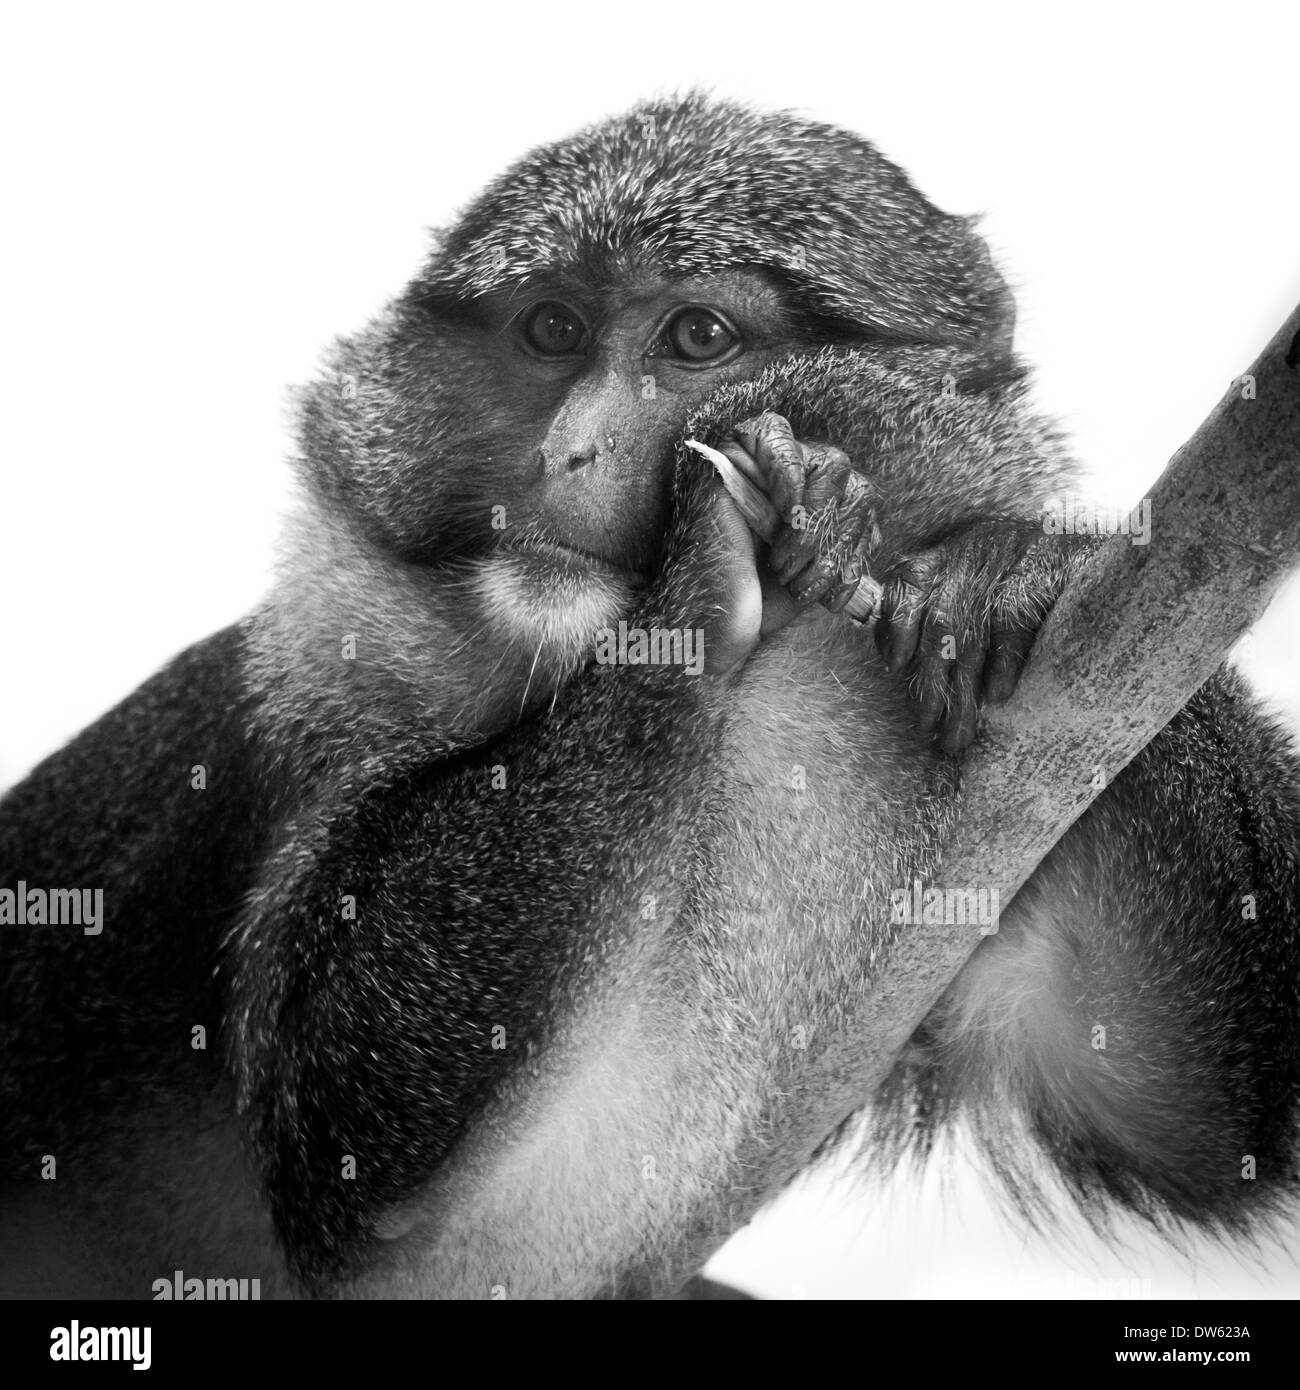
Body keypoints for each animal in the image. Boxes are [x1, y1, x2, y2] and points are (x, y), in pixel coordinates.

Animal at [0, 92, 1295, 1295]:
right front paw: (705, 563)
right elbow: (344, 1124)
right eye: (551, 328)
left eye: (699, 334)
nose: (567, 453)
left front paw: (1005, 562)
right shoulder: (302, 718)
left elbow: (1199, 1106)